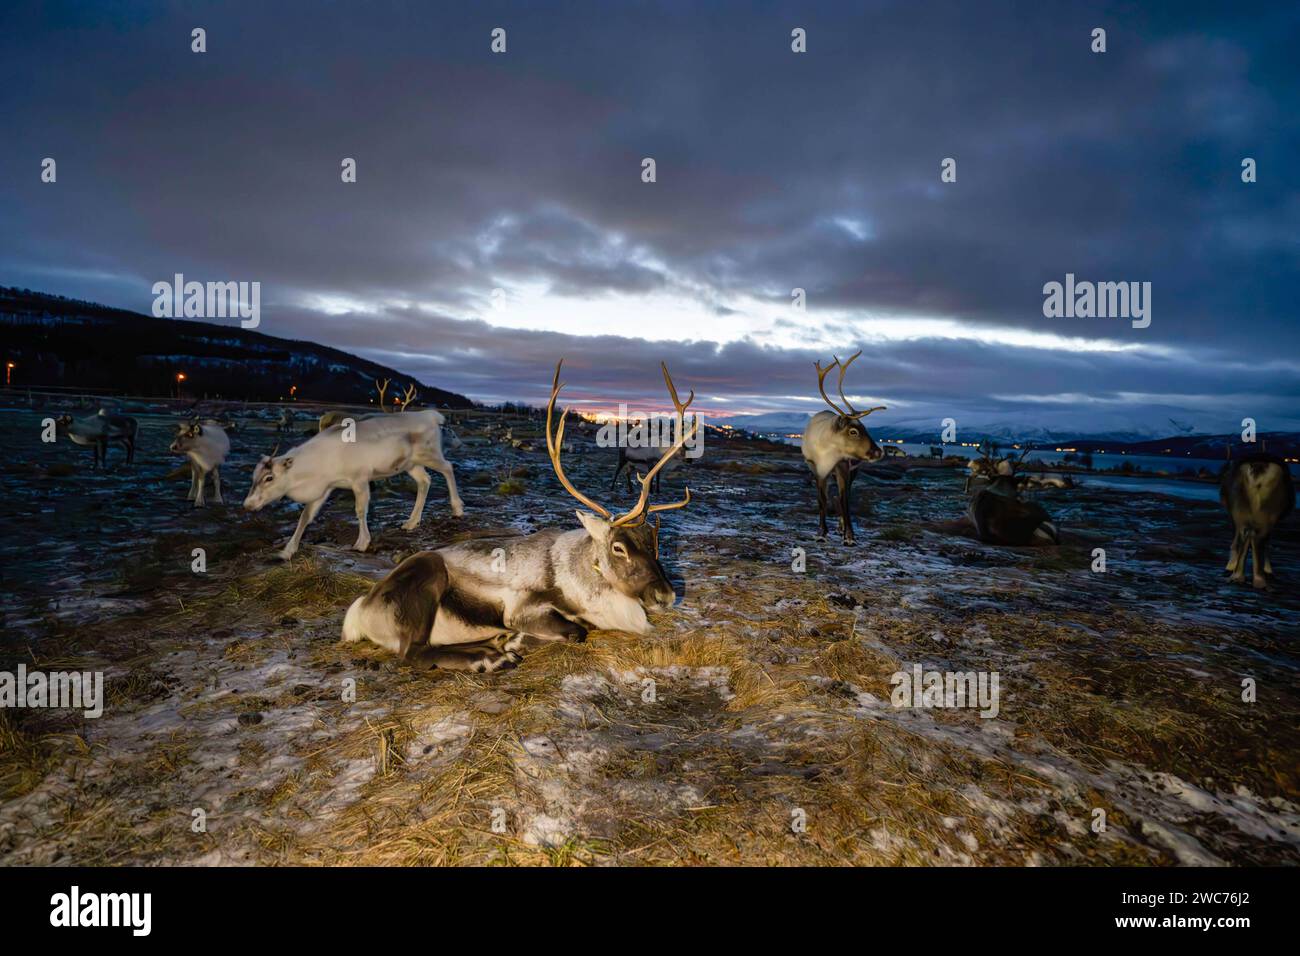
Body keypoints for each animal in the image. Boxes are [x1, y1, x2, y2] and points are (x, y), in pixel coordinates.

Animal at [243, 409, 463, 560]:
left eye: (269, 477)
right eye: (254, 477)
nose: (247, 505)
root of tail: (431, 415)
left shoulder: (360, 479)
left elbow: (360, 510)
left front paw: (362, 543)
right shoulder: (325, 488)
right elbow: (305, 517)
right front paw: (288, 551)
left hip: (429, 454)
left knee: (448, 467)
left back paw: (457, 508)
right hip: (411, 464)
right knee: (425, 481)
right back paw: (411, 522)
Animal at [341, 360, 695, 673]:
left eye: (654, 541)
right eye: (618, 547)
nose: (666, 595)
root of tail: (361, 610)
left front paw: (511, 641)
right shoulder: (521, 609)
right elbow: (575, 631)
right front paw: (514, 641)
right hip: (427, 573)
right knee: (413, 652)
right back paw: (488, 659)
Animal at [801, 351, 886, 544]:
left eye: (865, 427)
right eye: (853, 431)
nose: (878, 451)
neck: (826, 451)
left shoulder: (843, 467)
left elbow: (844, 500)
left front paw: (849, 537)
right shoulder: (816, 469)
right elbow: (822, 499)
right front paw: (821, 532)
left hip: (853, 470)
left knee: (846, 496)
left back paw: (842, 528)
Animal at [1220, 453, 1294, 588]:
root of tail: (1258, 467)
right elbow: (1266, 544)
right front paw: (1268, 571)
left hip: (1240, 509)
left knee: (1242, 536)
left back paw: (1236, 576)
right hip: (1267, 512)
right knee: (1257, 538)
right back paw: (1259, 580)